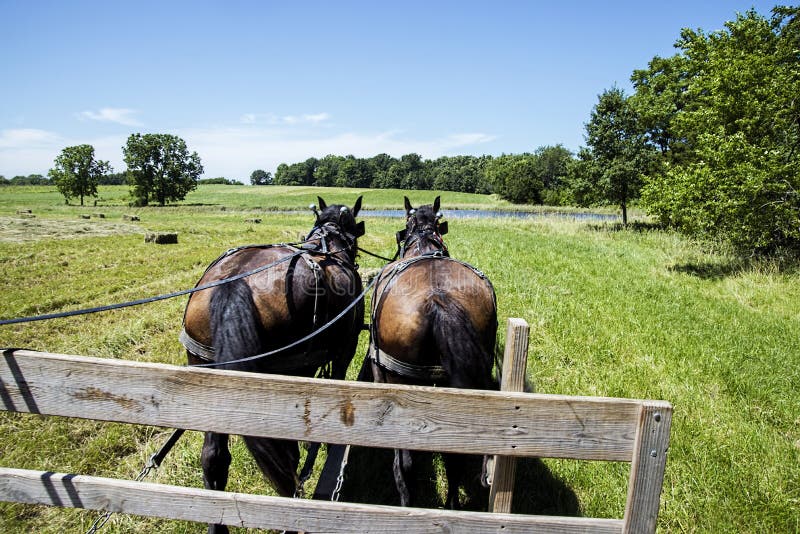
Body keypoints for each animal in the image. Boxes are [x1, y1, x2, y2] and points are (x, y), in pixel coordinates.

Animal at [368, 196, 498, 509]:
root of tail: (440, 298)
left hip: (400, 384)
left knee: (404, 462)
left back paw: (407, 502)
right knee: (455, 459)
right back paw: (451, 504)